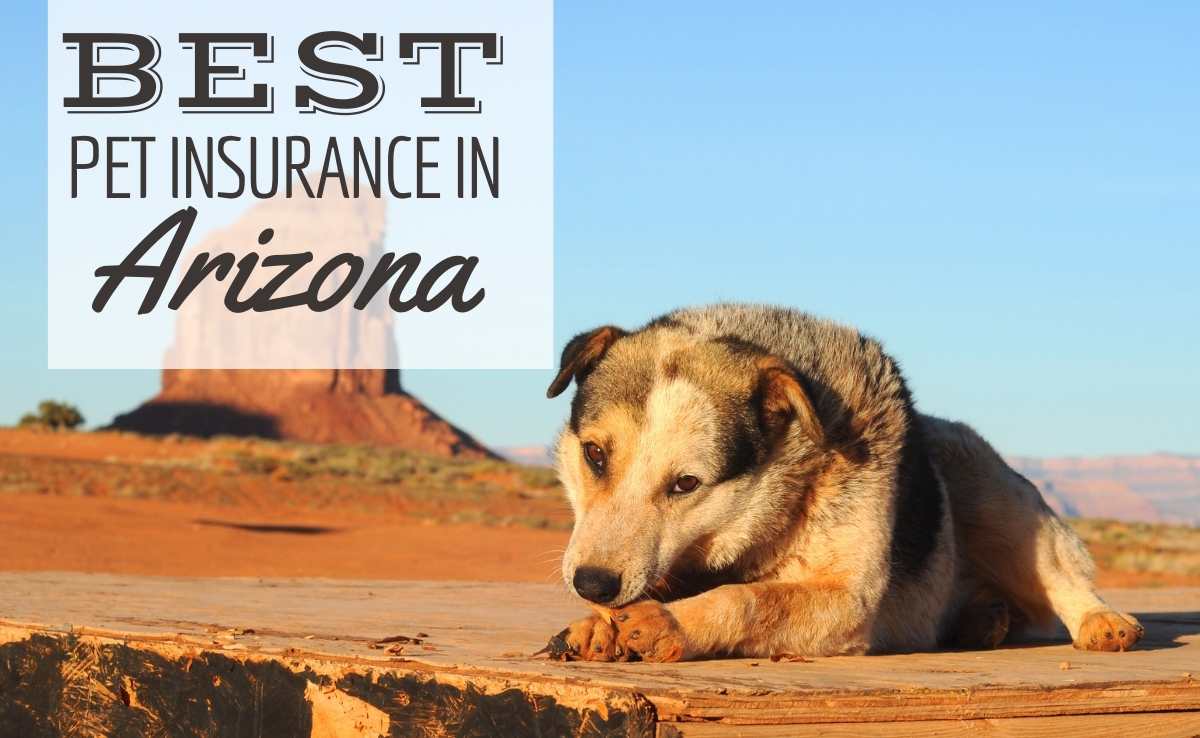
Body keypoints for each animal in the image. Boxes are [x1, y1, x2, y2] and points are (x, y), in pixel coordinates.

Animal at [544, 303, 1142, 662]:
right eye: (594, 455)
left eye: (686, 484)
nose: (592, 583)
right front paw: (597, 625)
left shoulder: (848, 601)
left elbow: (752, 600)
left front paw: (672, 622)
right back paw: (982, 620)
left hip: (990, 487)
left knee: (1060, 574)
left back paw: (1101, 620)